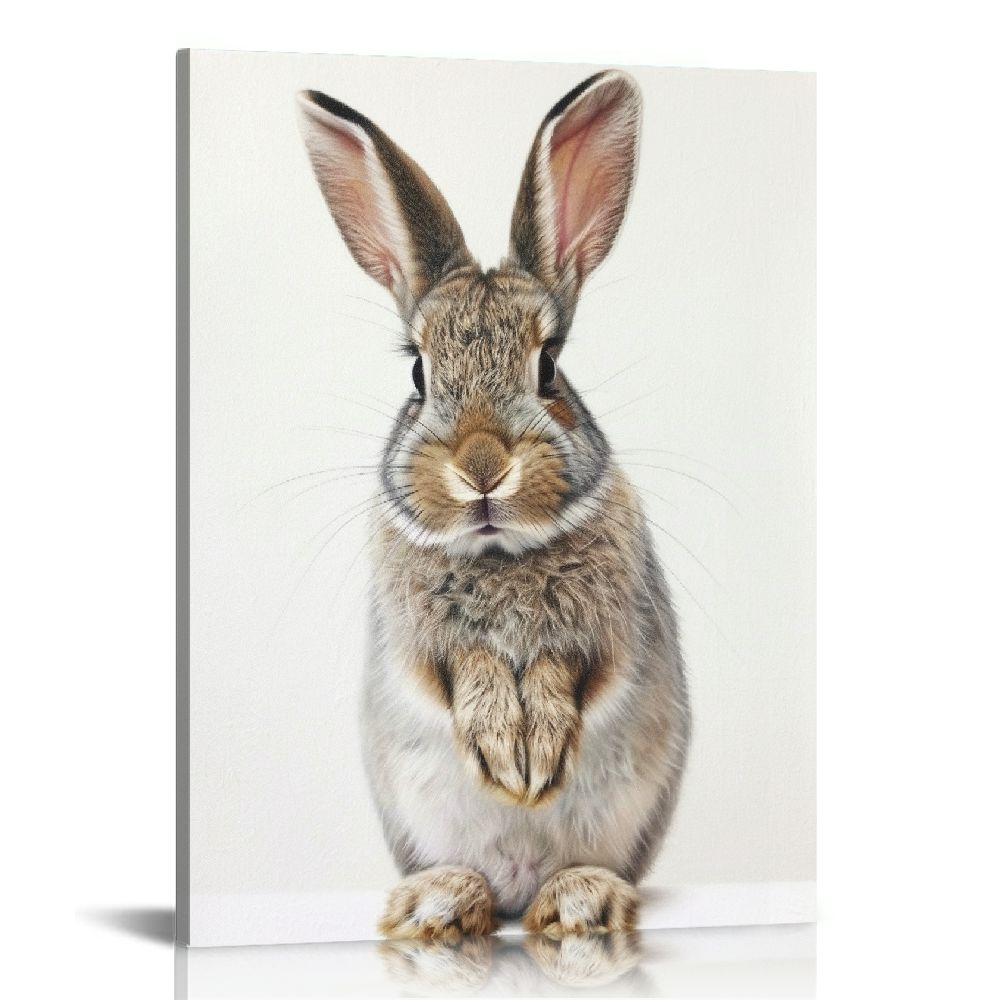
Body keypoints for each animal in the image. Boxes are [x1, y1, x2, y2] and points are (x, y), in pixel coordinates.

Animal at [297, 69, 690, 939]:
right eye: (418, 373)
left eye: (549, 368)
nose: (481, 466)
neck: (498, 552)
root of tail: (517, 893)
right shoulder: (415, 647)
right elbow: (464, 668)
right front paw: (506, 748)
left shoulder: (615, 633)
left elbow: (566, 671)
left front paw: (532, 752)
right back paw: (438, 902)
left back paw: (580, 900)